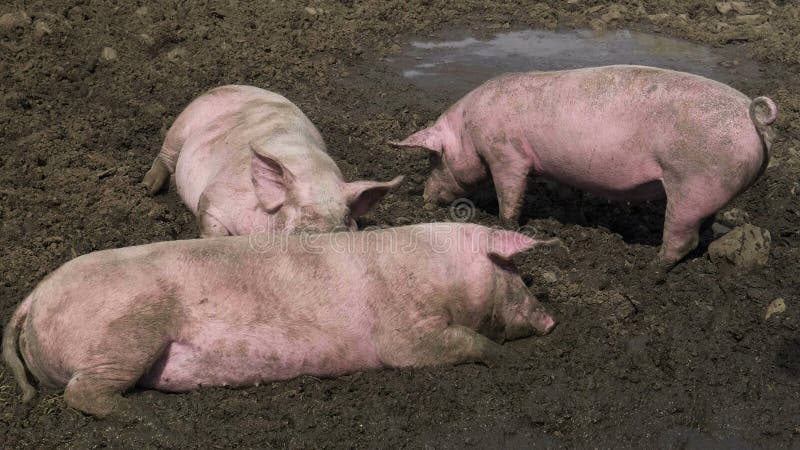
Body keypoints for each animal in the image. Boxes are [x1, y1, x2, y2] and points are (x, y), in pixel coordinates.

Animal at [3, 223, 556, 420]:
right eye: (514, 272)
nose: (551, 321)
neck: (438, 269)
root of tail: (34, 296)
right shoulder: (404, 330)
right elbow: (440, 345)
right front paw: (504, 358)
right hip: (126, 329)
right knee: (83, 392)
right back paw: (141, 418)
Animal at [142, 85, 403, 236]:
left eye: (347, 216)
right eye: (304, 210)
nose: (333, 233)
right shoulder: (215, 197)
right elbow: (211, 224)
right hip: (186, 121)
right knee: (166, 154)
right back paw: (149, 187)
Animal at [391, 65, 778, 269]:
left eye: (433, 157)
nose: (425, 198)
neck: (469, 129)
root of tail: (752, 117)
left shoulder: (507, 153)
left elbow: (510, 193)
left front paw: (507, 225)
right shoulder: (558, 168)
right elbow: (567, 195)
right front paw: (578, 220)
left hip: (692, 182)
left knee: (683, 235)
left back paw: (651, 267)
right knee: (704, 229)